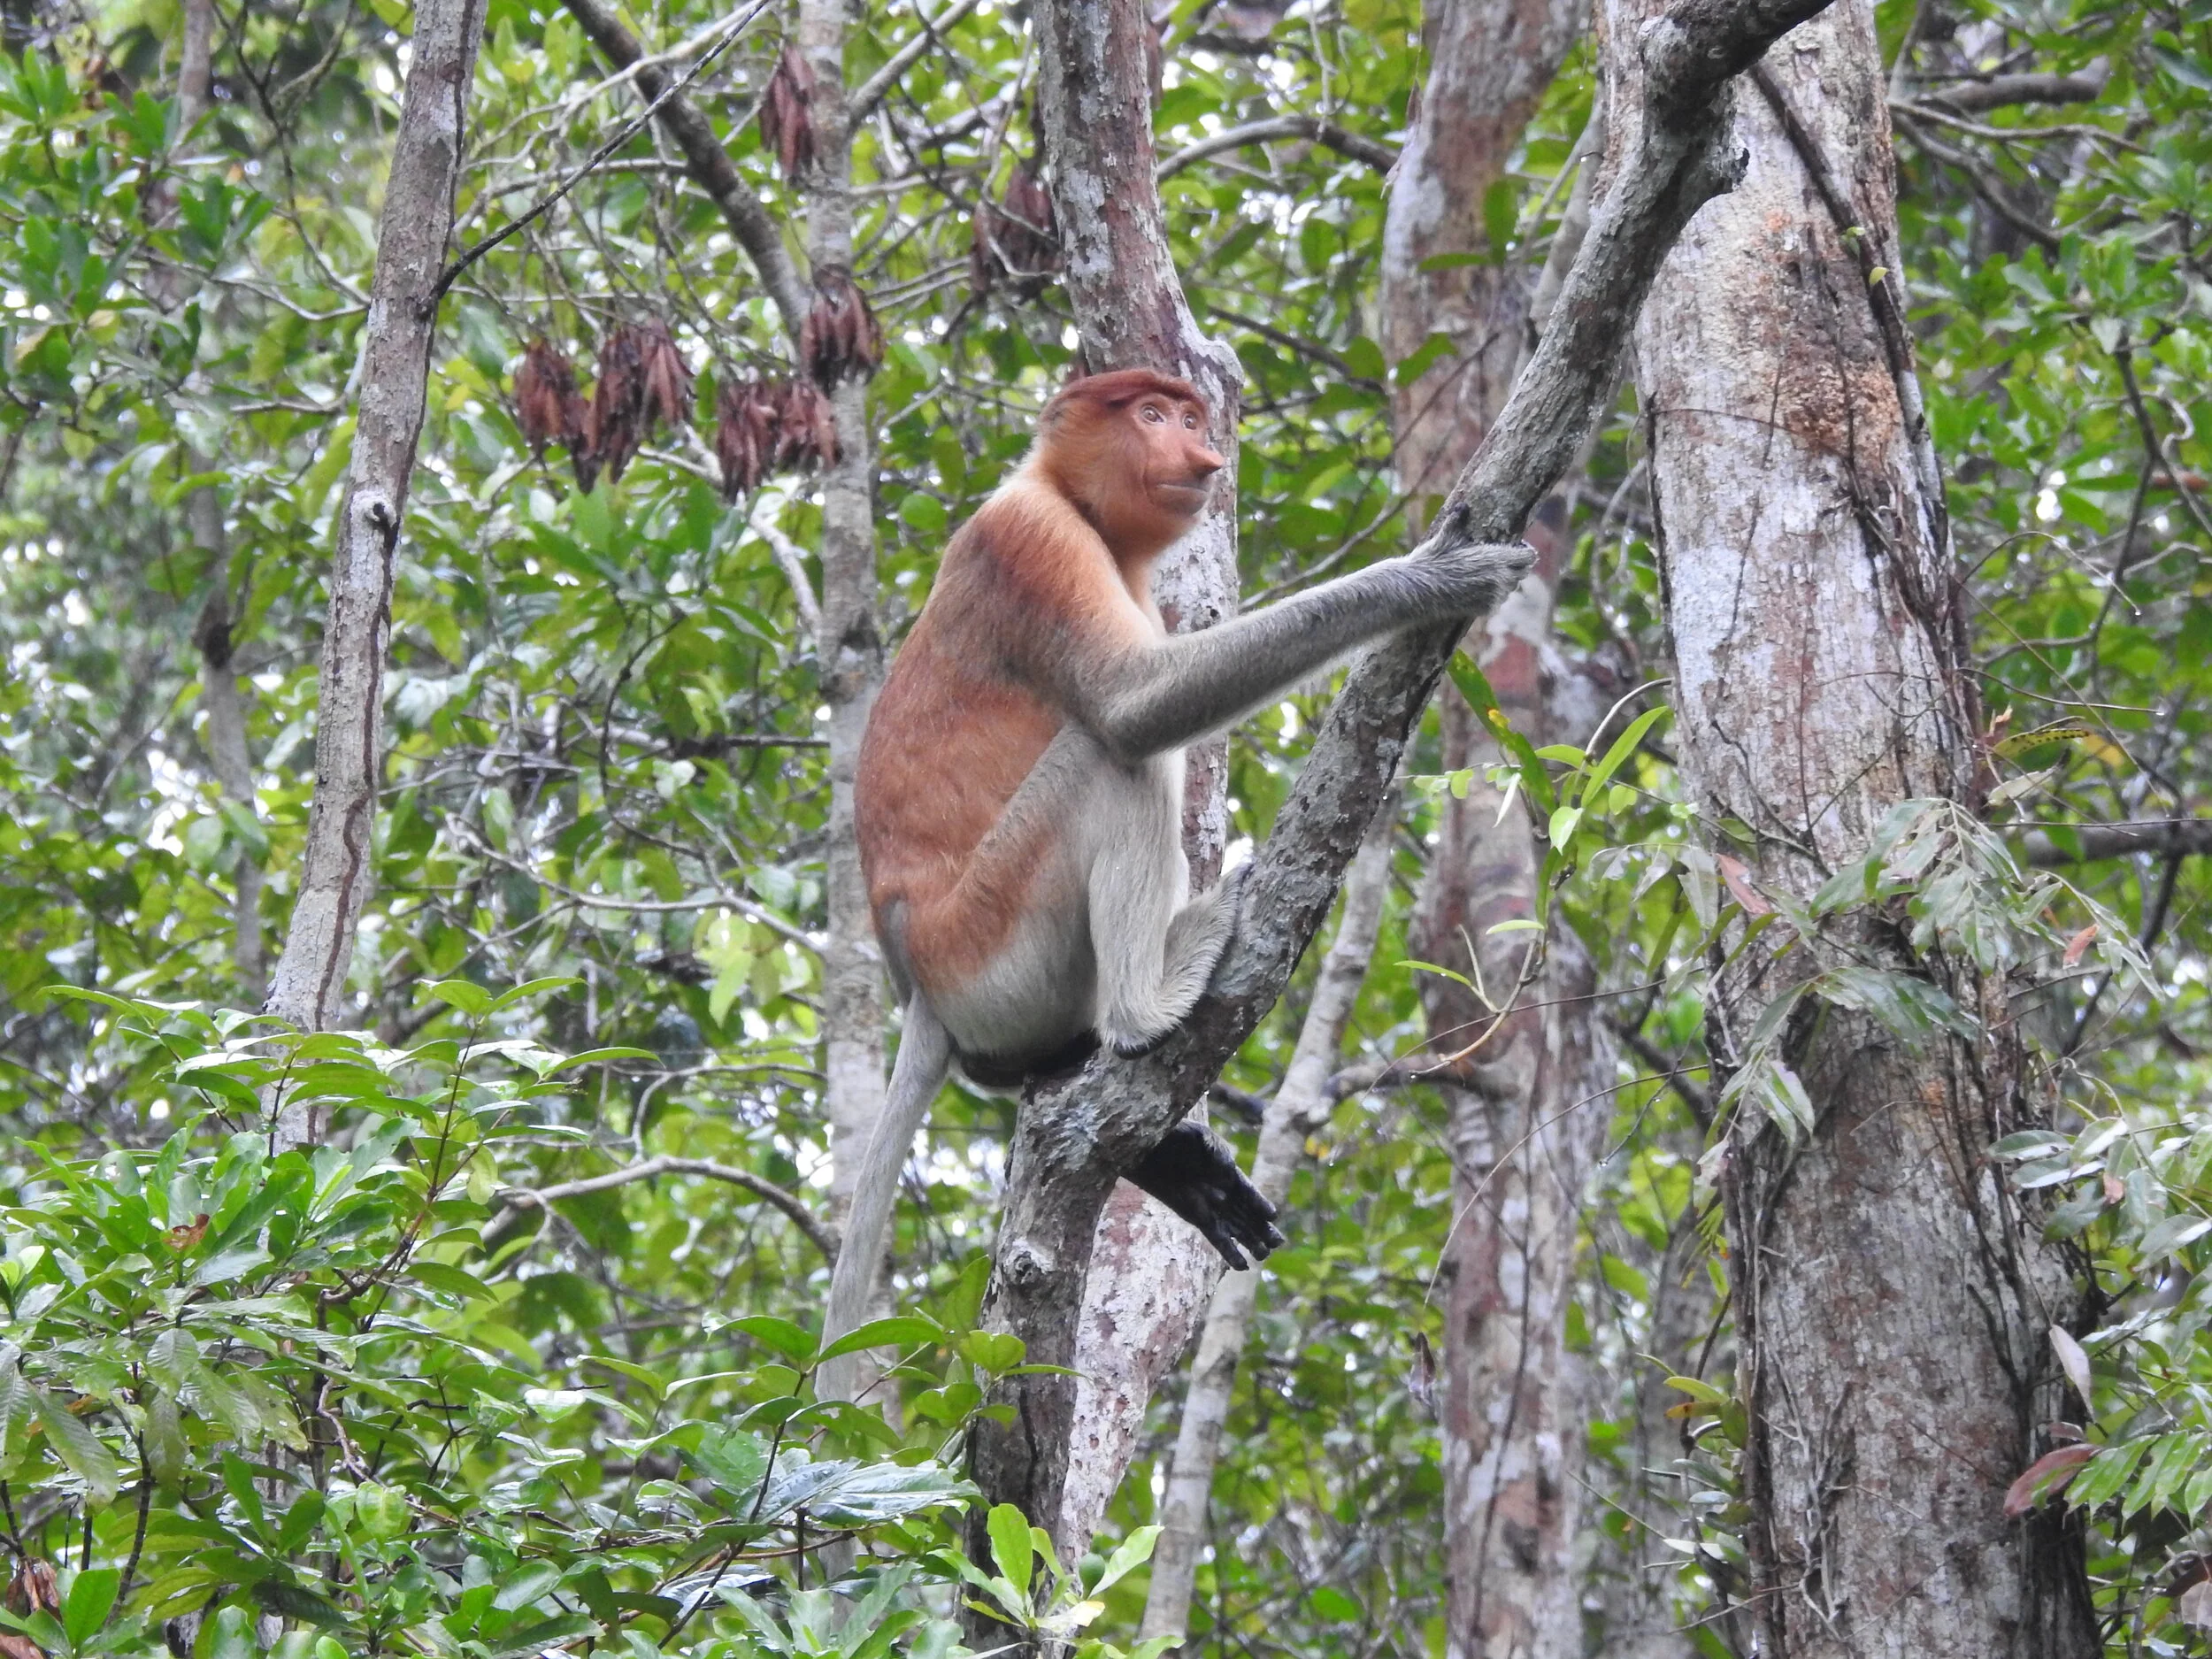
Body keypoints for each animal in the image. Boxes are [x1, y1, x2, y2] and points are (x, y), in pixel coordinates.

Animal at [818, 368, 1529, 1395]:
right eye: (1150, 415)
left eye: (1192, 418)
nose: (1201, 456)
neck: (1064, 493)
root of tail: (917, 976)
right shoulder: (1033, 538)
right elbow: (1135, 702)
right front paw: (1430, 574)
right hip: (993, 938)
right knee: (1114, 752)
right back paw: (1150, 1001)